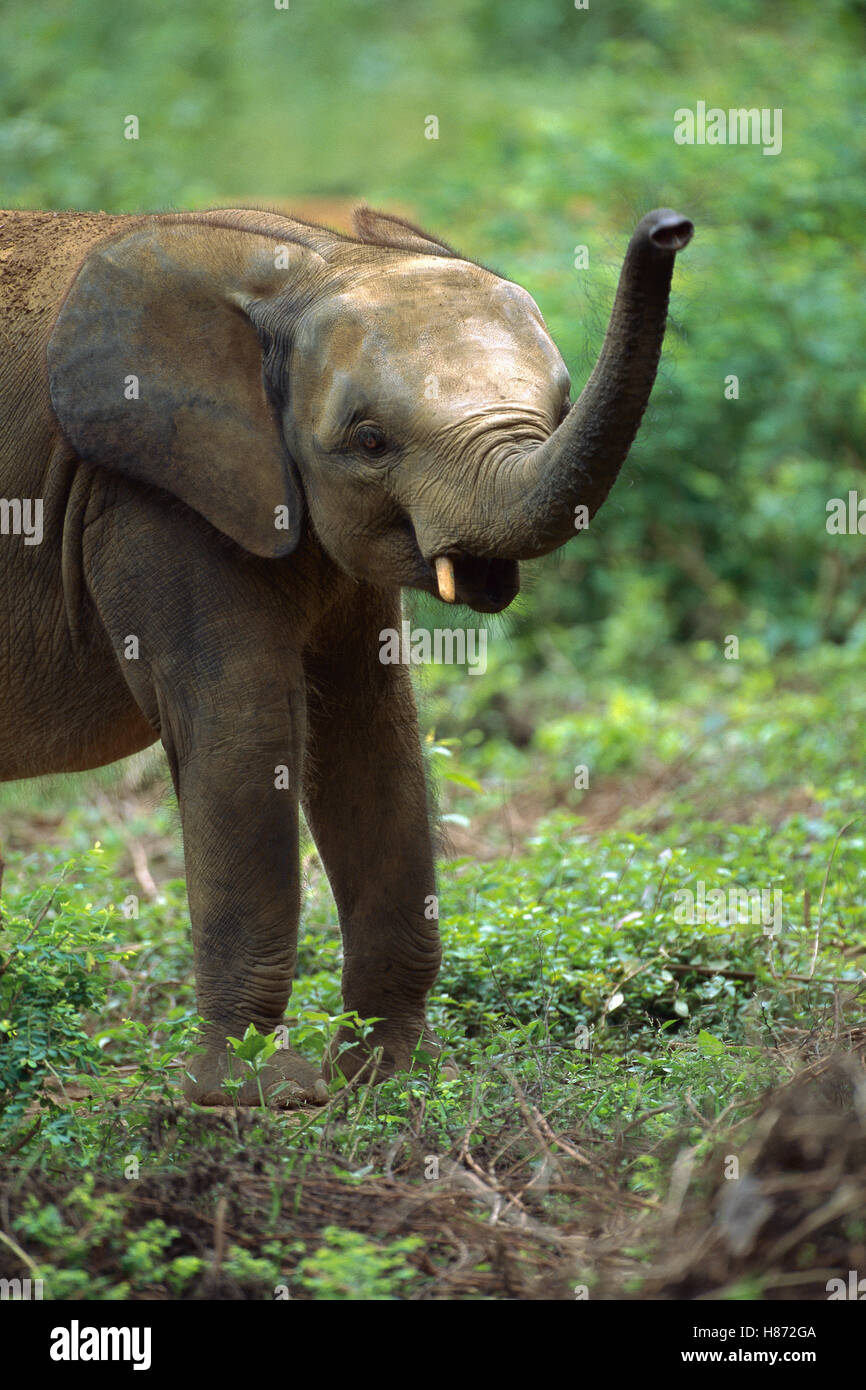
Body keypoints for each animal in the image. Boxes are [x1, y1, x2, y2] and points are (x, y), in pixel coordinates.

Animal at [0, 201, 692, 1105]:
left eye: (565, 400)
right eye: (368, 442)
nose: (671, 227)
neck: (309, 265)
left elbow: (372, 738)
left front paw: (385, 1080)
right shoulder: (146, 493)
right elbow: (246, 733)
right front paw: (252, 1095)